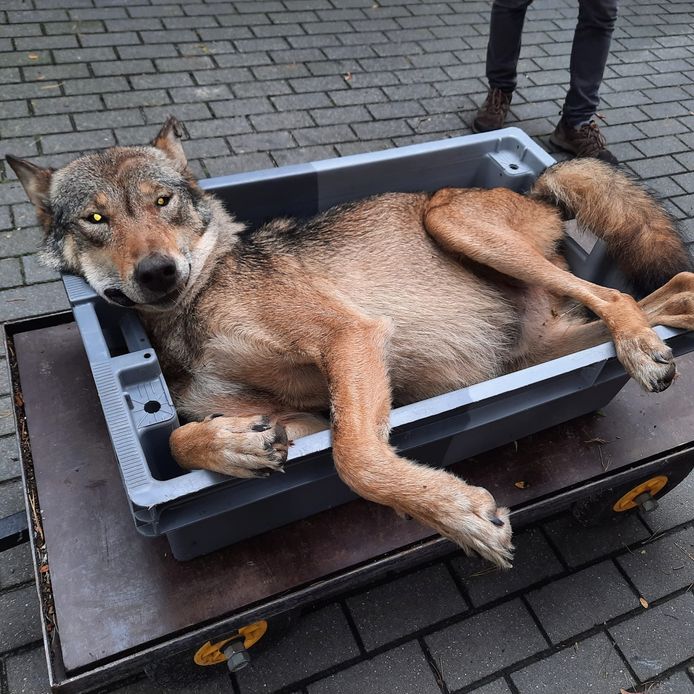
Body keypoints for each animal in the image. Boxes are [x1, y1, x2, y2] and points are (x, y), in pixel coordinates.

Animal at [8, 118, 694, 567]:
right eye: (96, 220)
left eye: (163, 201)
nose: (156, 272)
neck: (191, 308)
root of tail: (534, 181)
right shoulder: (305, 417)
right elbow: (179, 440)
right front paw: (234, 445)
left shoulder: (351, 337)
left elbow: (355, 460)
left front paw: (458, 515)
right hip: (531, 348)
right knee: (669, 291)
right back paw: (666, 328)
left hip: (451, 219)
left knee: (620, 298)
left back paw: (641, 350)